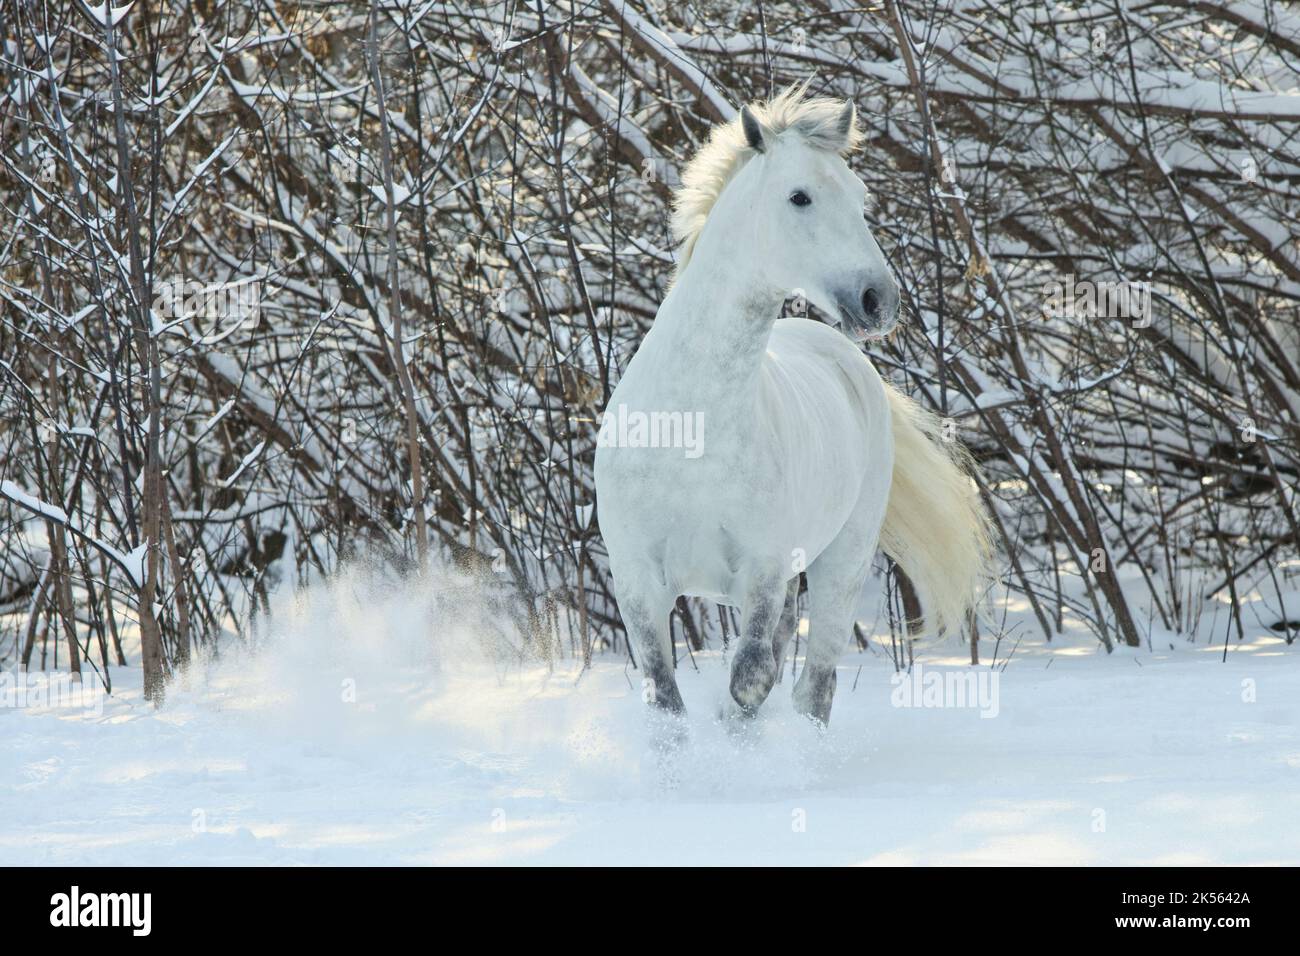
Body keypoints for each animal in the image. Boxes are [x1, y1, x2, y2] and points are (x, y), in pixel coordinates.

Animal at [594, 88, 991, 726]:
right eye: (799, 196)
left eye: (859, 196)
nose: (878, 300)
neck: (691, 432)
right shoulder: (638, 582)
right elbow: (667, 700)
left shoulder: (762, 571)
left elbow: (749, 683)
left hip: (839, 567)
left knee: (814, 687)